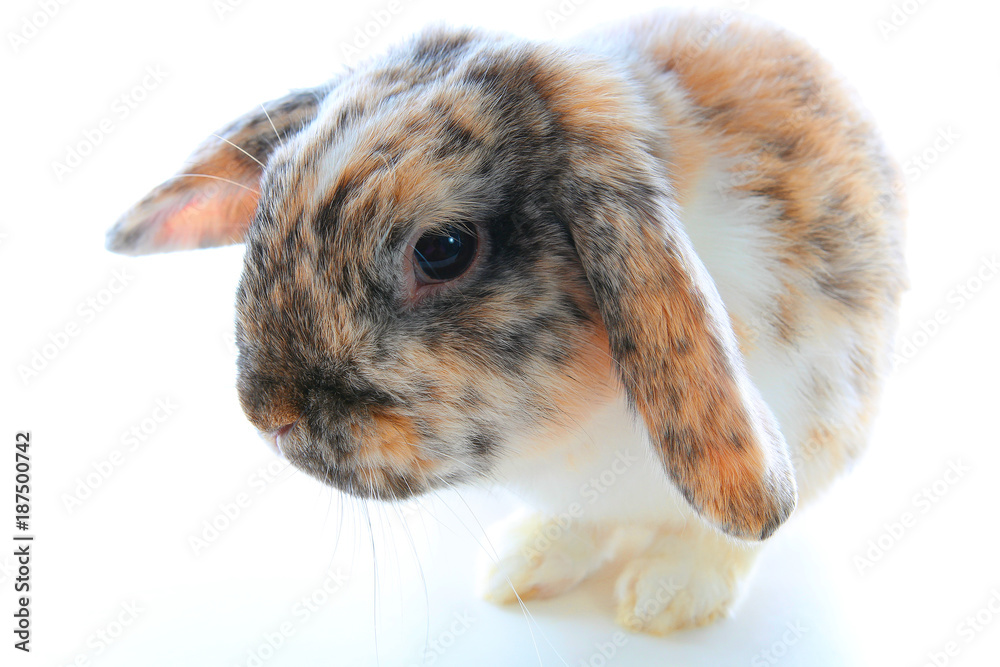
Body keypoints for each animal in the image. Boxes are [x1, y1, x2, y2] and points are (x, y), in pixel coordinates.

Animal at [106, 10, 906, 634]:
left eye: (443, 249)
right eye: (268, 189)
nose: (265, 414)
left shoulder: (821, 417)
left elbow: (731, 541)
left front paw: (664, 597)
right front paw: (522, 566)